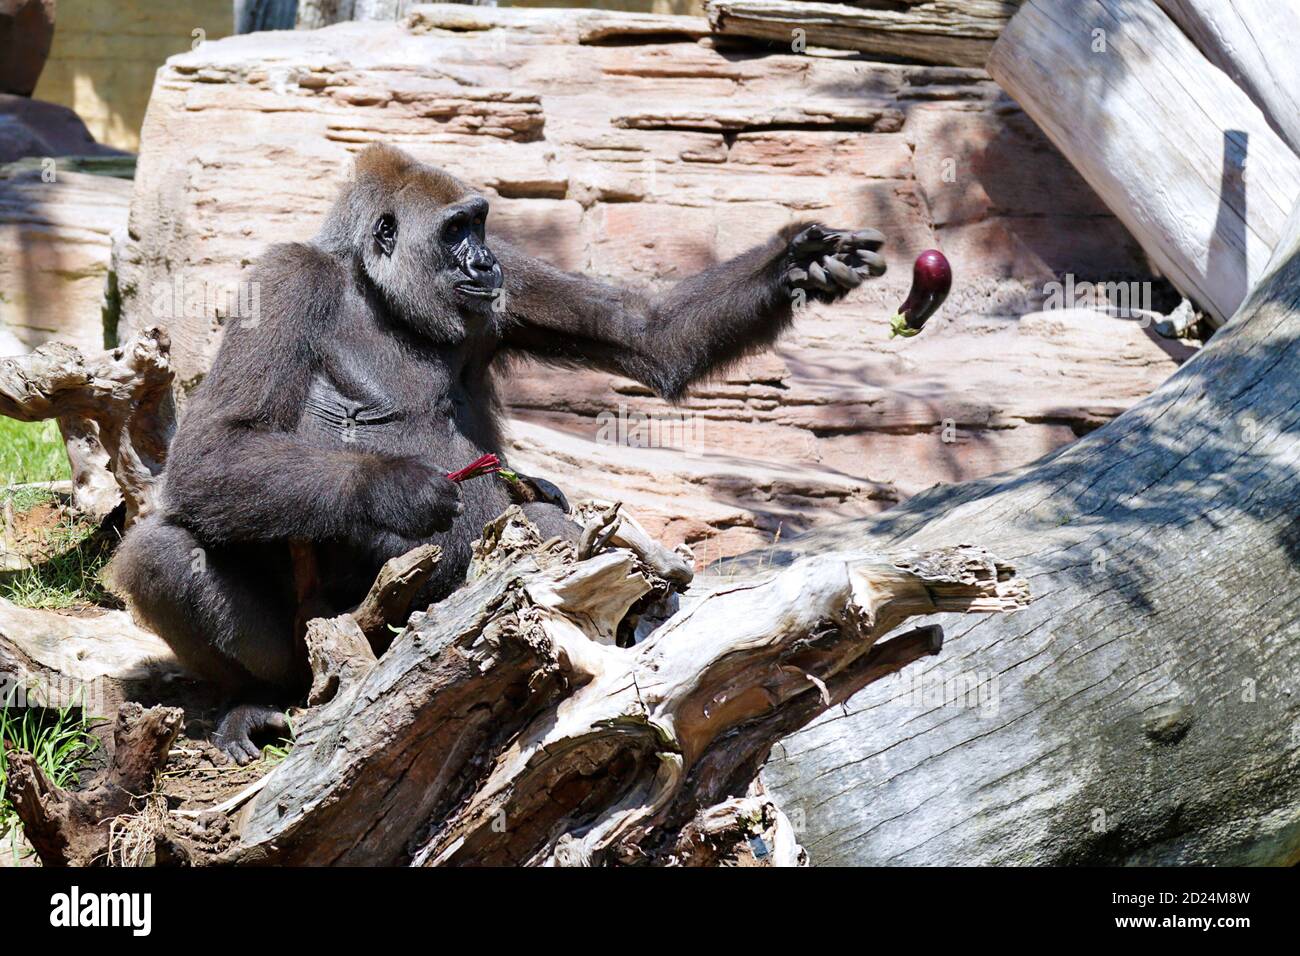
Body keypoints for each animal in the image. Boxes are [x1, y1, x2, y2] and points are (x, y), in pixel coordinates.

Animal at [107, 143, 886, 763]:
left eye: (480, 227)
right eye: (456, 231)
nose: (482, 260)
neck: (372, 287)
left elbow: (647, 332)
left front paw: (799, 259)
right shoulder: (285, 277)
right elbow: (213, 452)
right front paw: (395, 488)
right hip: (326, 644)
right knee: (162, 551)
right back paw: (257, 698)